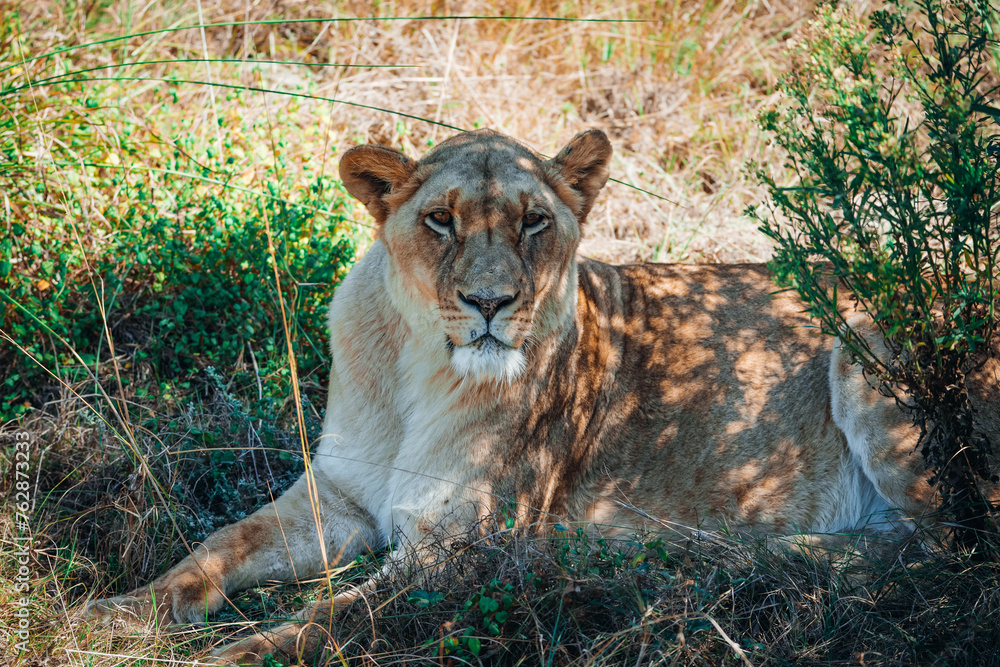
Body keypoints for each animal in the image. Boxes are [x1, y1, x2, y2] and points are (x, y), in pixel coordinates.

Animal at [87, 129, 1000, 665]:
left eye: (534, 221)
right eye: (442, 219)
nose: (490, 302)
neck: (418, 371)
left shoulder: (458, 548)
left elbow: (324, 621)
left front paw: (228, 654)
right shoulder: (338, 496)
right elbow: (215, 546)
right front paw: (118, 612)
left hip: (870, 343)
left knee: (942, 546)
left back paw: (730, 555)